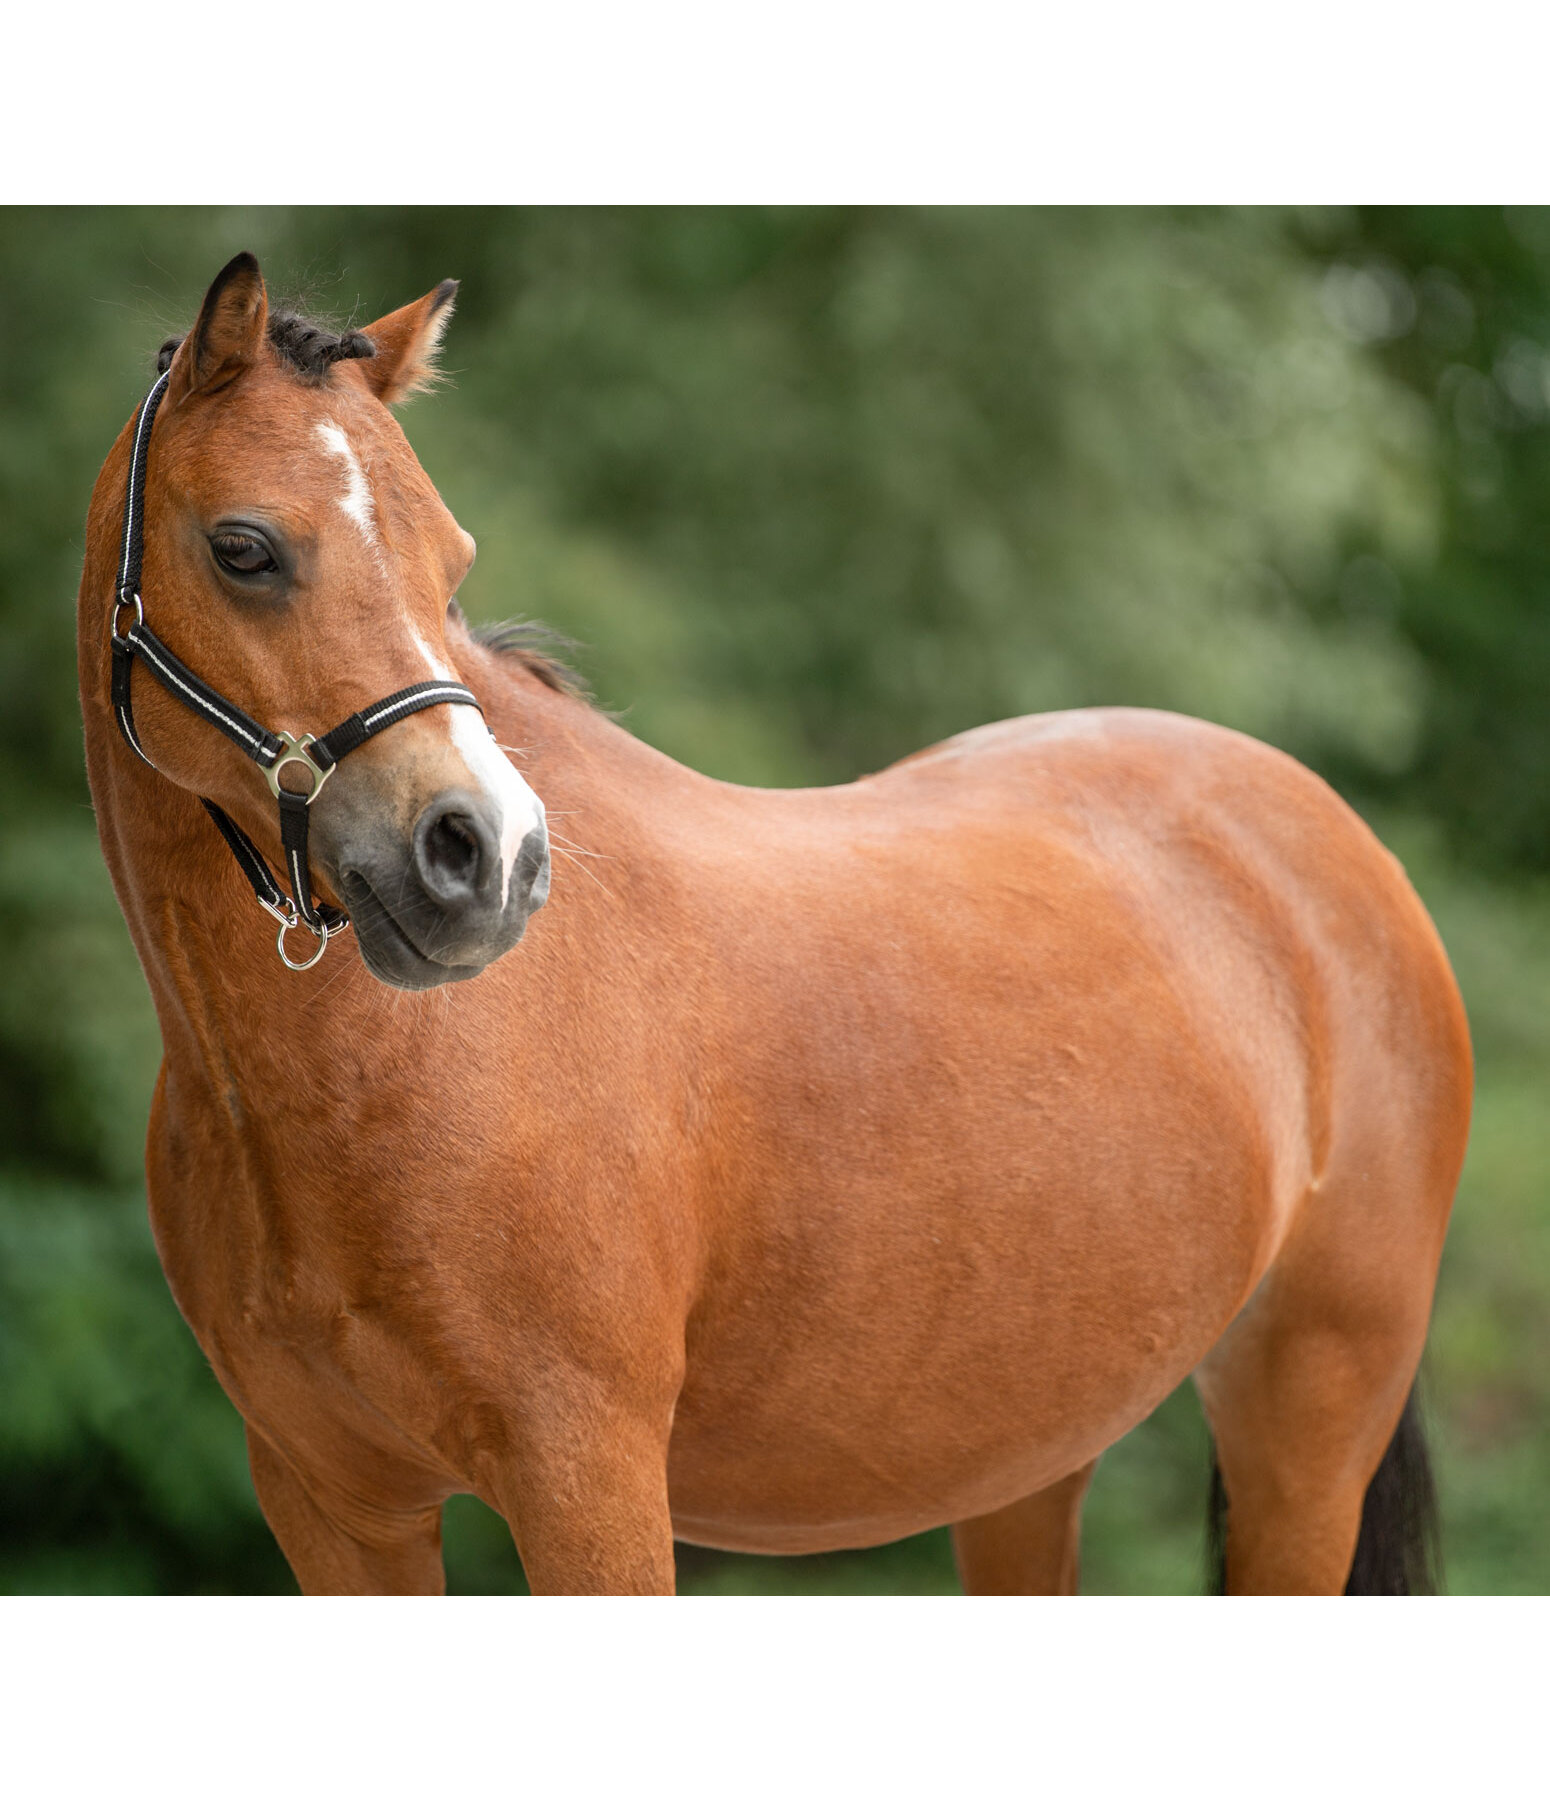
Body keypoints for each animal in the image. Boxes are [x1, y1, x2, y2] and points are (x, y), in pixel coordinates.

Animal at [78, 252, 1473, 1595]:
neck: (355, 1089)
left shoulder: (587, 1482)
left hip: (1308, 1430)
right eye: (244, 548)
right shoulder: (336, 1510)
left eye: (451, 566)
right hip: (1026, 1461)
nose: (486, 860)